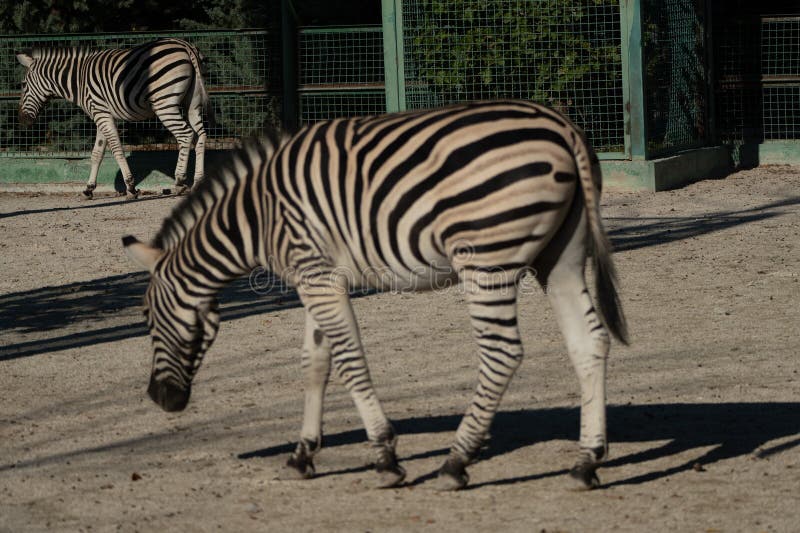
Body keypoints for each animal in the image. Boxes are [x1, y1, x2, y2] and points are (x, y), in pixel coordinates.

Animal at [16, 38, 212, 198]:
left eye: (23, 85)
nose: (22, 120)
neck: (78, 80)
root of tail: (185, 45)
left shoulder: (101, 113)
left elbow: (116, 149)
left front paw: (131, 188)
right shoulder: (102, 114)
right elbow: (97, 152)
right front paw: (89, 188)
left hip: (164, 104)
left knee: (186, 135)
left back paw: (179, 181)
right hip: (192, 103)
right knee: (201, 136)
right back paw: (198, 182)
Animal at [123, 100, 628, 490]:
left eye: (146, 318)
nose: (159, 399)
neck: (253, 215)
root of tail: (562, 126)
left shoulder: (316, 274)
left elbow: (349, 361)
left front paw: (385, 457)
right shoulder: (316, 277)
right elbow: (315, 363)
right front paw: (303, 455)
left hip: (487, 259)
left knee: (502, 352)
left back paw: (455, 462)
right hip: (560, 257)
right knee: (590, 341)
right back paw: (586, 462)